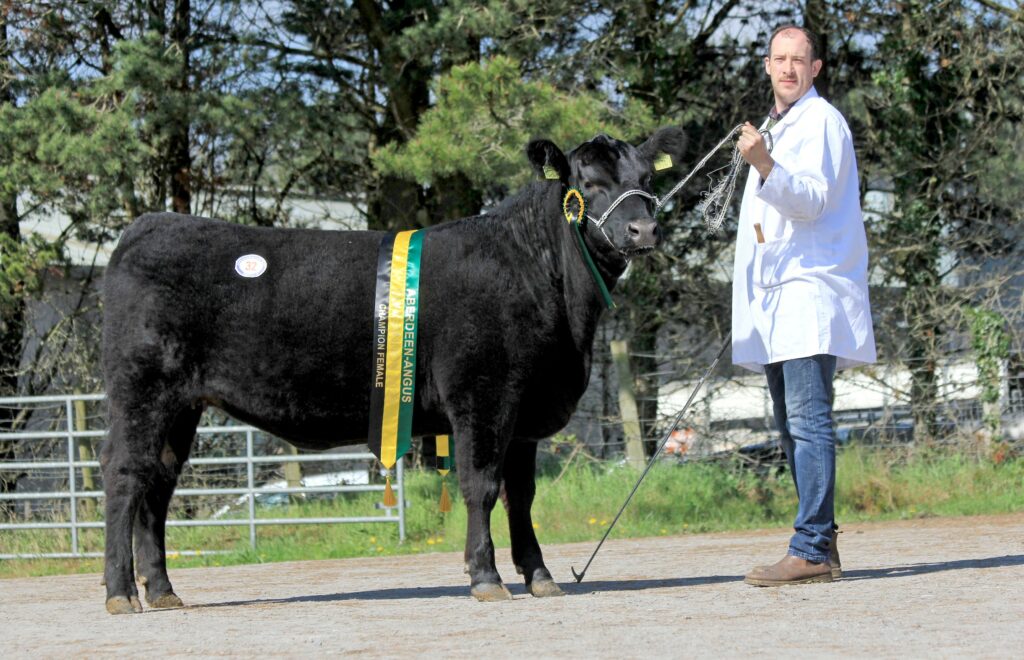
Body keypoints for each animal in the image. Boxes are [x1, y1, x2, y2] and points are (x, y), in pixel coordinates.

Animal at [99, 126, 686, 614]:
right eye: (590, 182)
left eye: (645, 179)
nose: (644, 230)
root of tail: (150, 225)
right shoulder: (482, 395)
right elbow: (481, 486)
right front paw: (486, 577)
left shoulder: (526, 410)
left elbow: (521, 495)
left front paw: (540, 575)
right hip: (140, 389)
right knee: (125, 475)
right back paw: (122, 593)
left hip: (181, 405)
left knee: (159, 483)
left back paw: (163, 590)